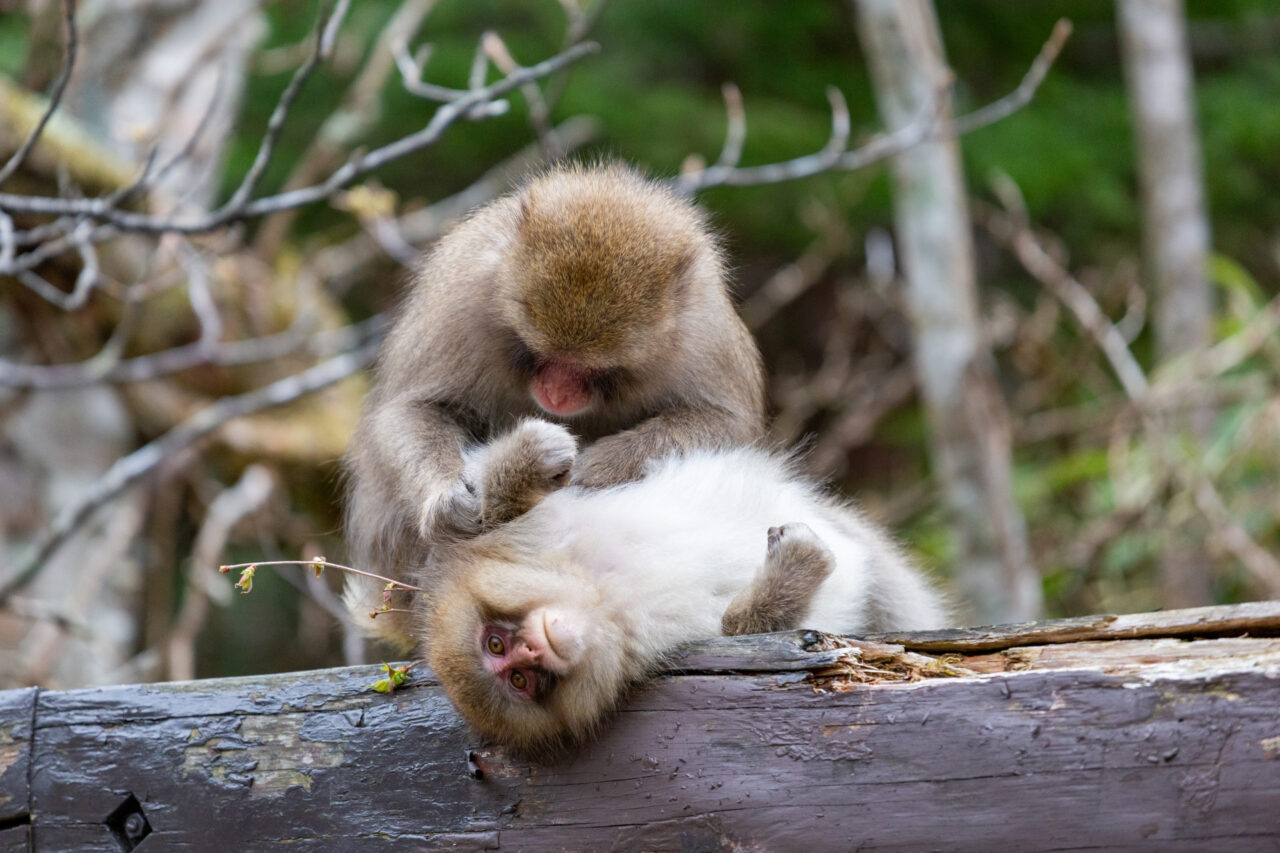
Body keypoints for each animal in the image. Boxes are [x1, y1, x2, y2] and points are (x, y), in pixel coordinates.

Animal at [344, 163, 765, 650]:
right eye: (540, 353)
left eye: (595, 369)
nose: (558, 394)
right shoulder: (464, 292)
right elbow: (417, 408)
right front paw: (446, 498)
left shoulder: (702, 332)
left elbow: (726, 426)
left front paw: (597, 468)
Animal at [425, 419, 946, 755]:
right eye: (520, 680)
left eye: (496, 644)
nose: (534, 649)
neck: (600, 596)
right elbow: (737, 633)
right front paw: (791, 573)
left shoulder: (520, 543)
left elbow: (466, 520)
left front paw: (525, 464)